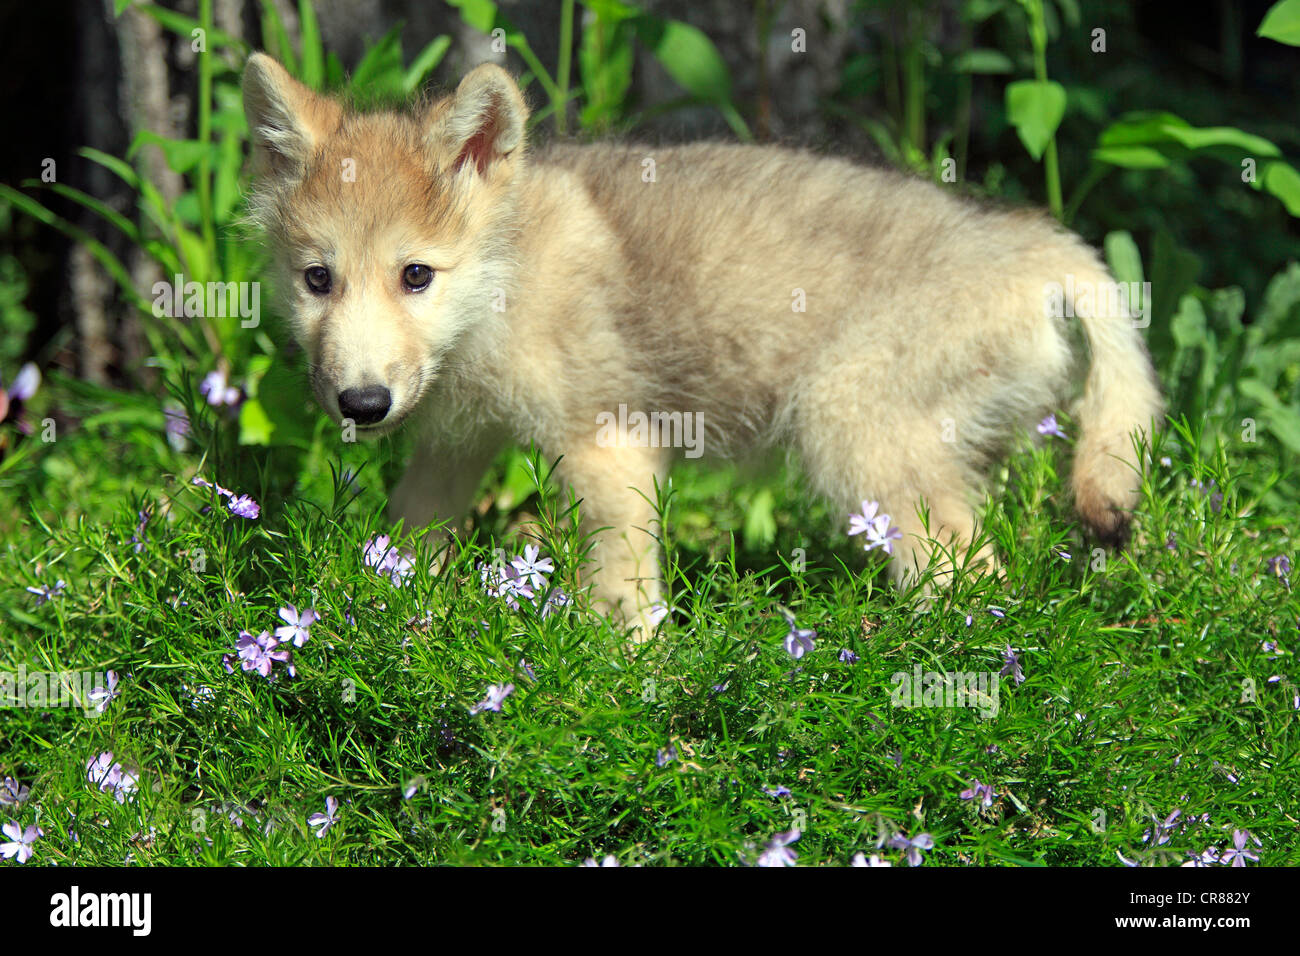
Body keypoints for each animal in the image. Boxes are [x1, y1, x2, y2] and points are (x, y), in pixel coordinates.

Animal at [242, 53, 1162, 639]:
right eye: (318, 280)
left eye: (416, 275)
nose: (362, 404)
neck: (505, 288)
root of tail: (1044, 248)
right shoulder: (452, 446)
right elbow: (406, 542)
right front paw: (381, 623)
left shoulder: (608, 448)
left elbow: (623, 605)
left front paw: (618, 692)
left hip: (851, 429)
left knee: (976, 585)